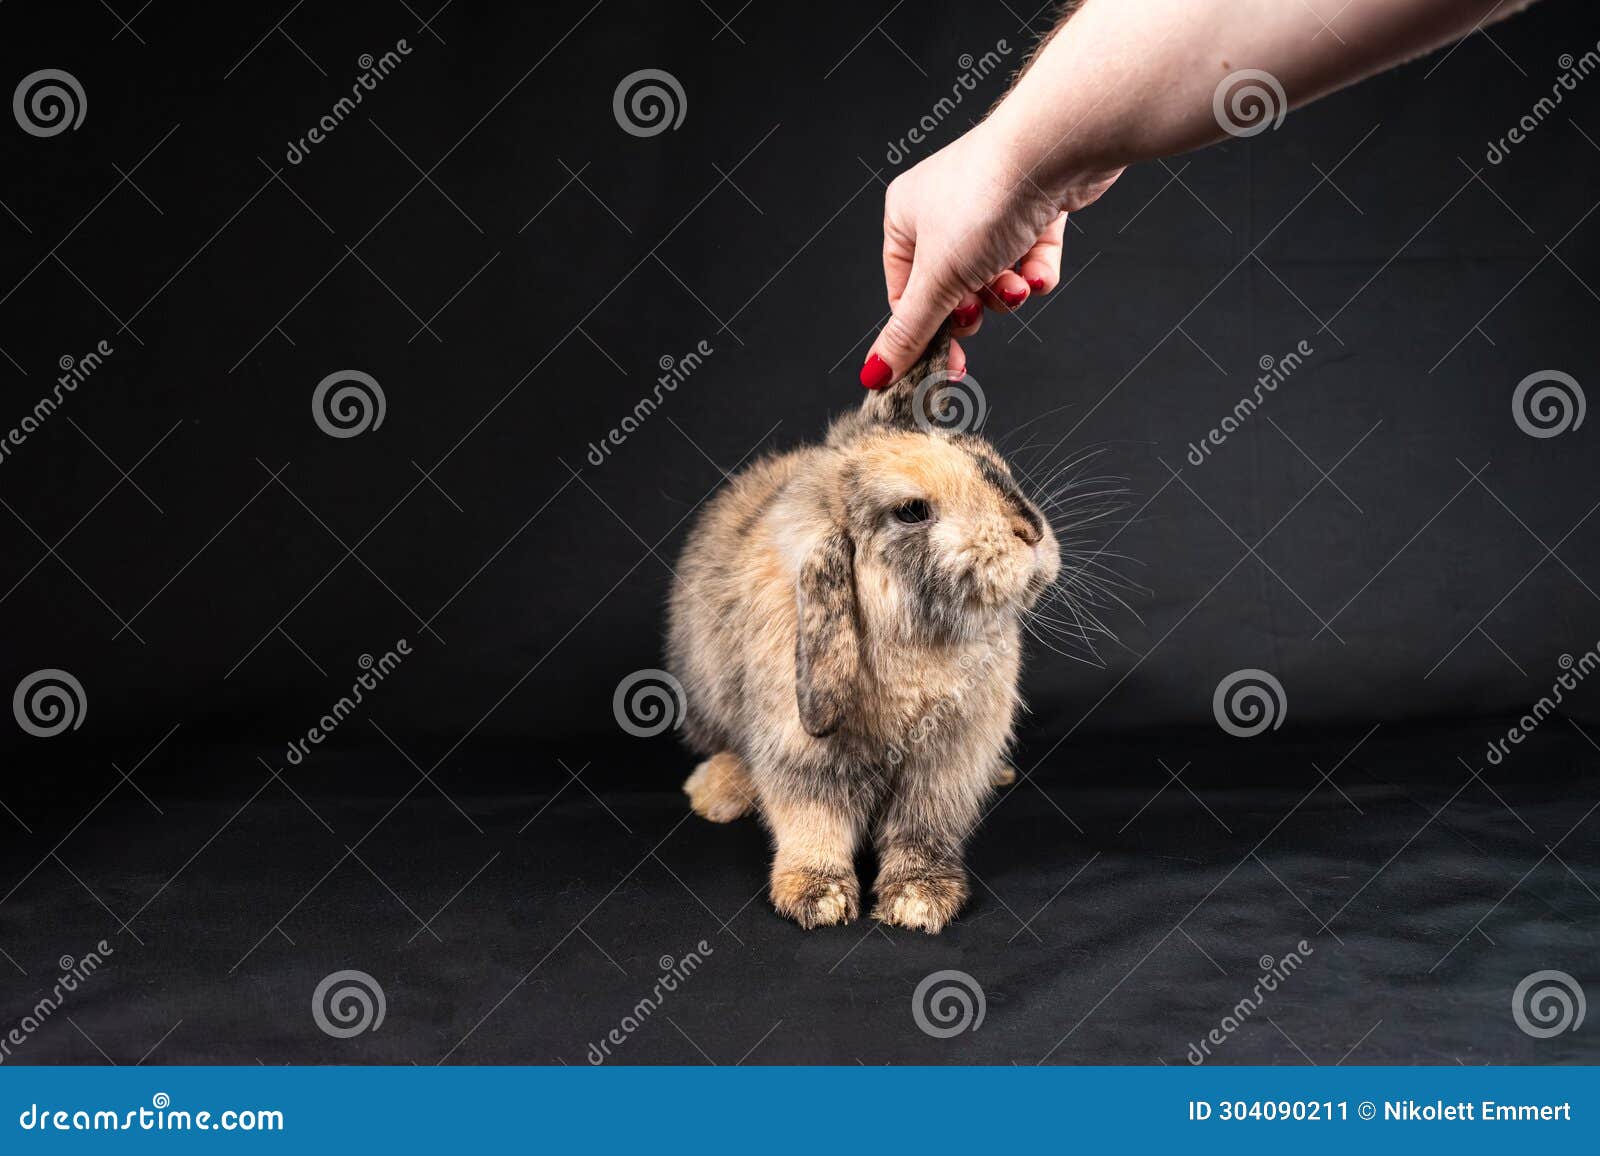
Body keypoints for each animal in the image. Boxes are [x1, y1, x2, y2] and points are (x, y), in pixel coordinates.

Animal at [666, 324, 1066, 933]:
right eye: (911, 511)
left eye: (987, 463)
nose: (1030, 531)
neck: (916, 639)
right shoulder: (802, 758)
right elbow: (813, 825)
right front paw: (818, 898)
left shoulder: (944, 767)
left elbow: (923, 831)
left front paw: (919, 900)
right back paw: (717, 795)